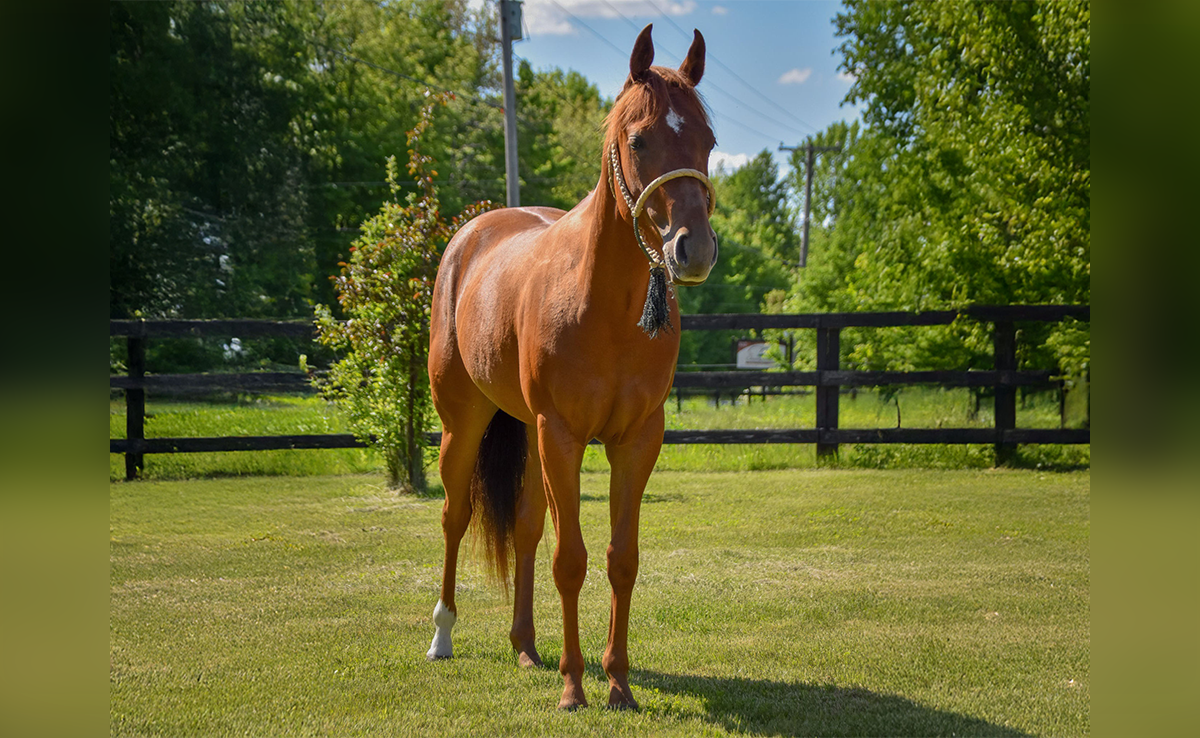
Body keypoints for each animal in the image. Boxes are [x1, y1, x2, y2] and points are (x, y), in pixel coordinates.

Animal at [425, 24, 718, 711]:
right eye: (639, 139)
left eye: (709, 142)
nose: (693, 249)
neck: (604, 304)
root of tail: (468, 237)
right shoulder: (561, 435)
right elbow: (571, 561)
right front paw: (575, 686)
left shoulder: (636, 440)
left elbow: (619, 559)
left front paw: (618, 682)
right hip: (465, 423)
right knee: (455, 517)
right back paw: (444, 636)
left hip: (527, 433)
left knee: (526, 526)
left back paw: (527, 647)